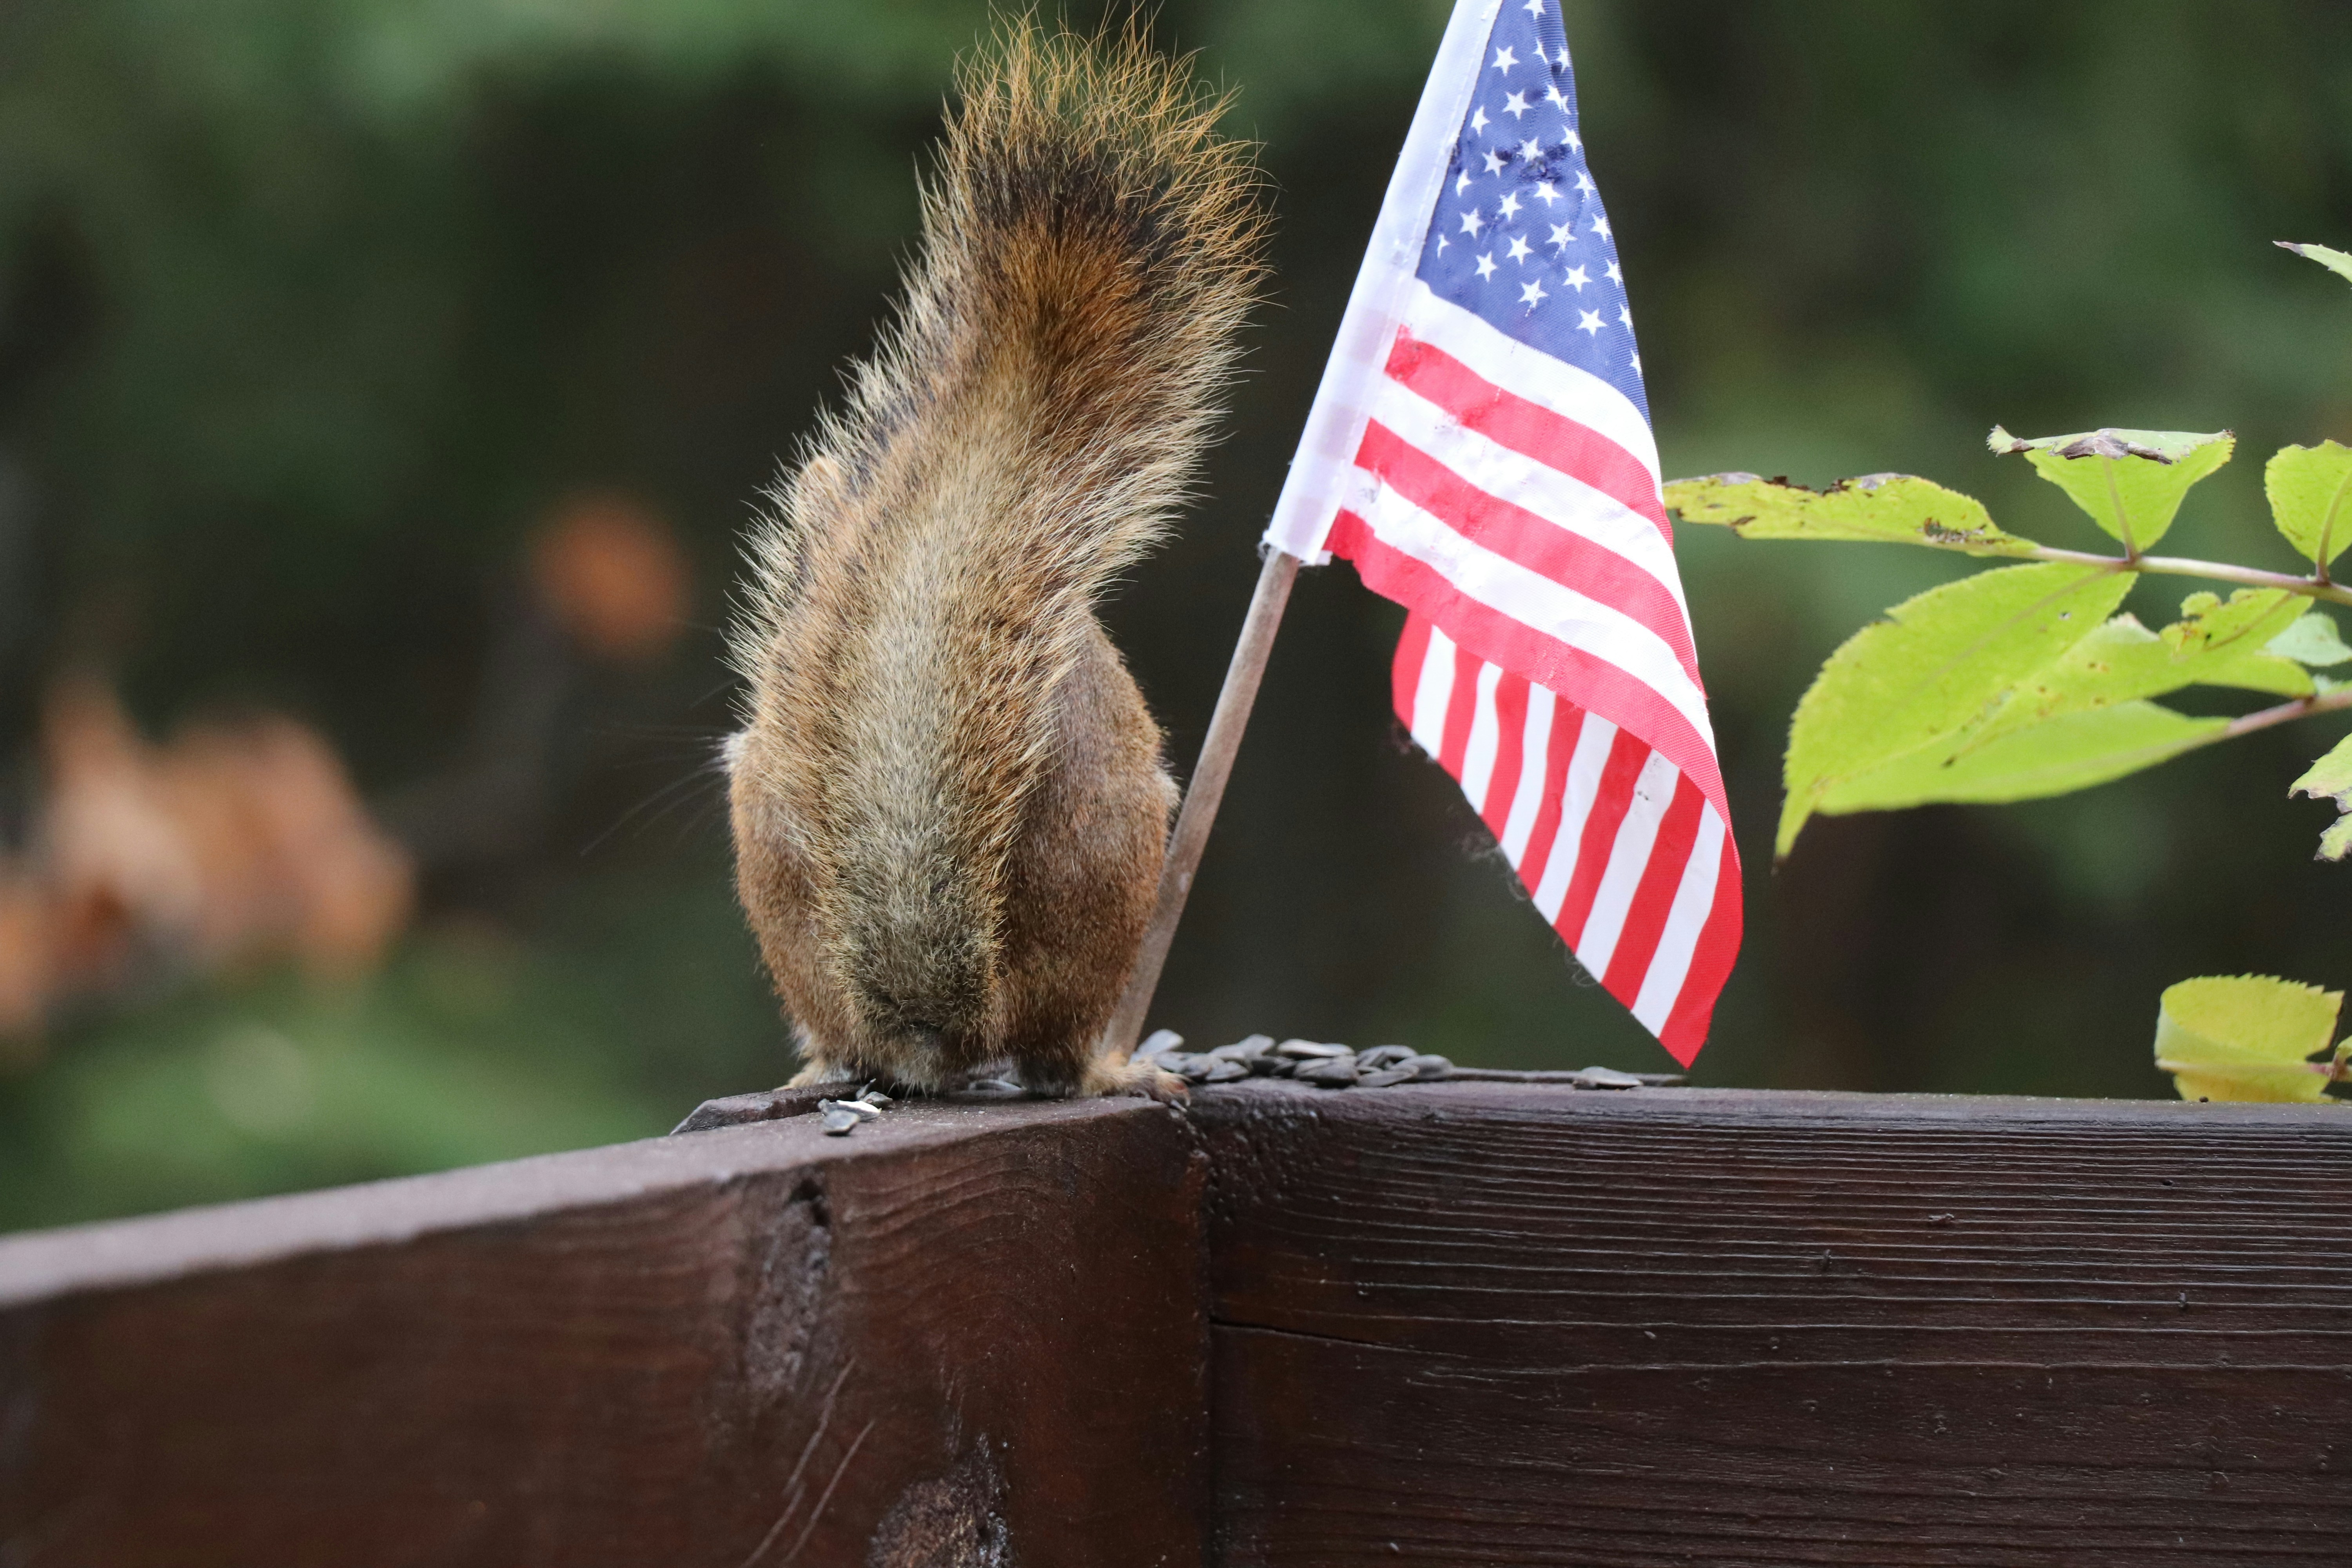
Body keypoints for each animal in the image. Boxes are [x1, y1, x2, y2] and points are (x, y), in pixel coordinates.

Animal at [725, 23, 1264, 1099]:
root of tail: (933, 1033)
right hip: (1121, 855)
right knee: (1056, 1055)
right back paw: (1111, 1069)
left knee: (840, 1045)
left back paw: (818, 1069)